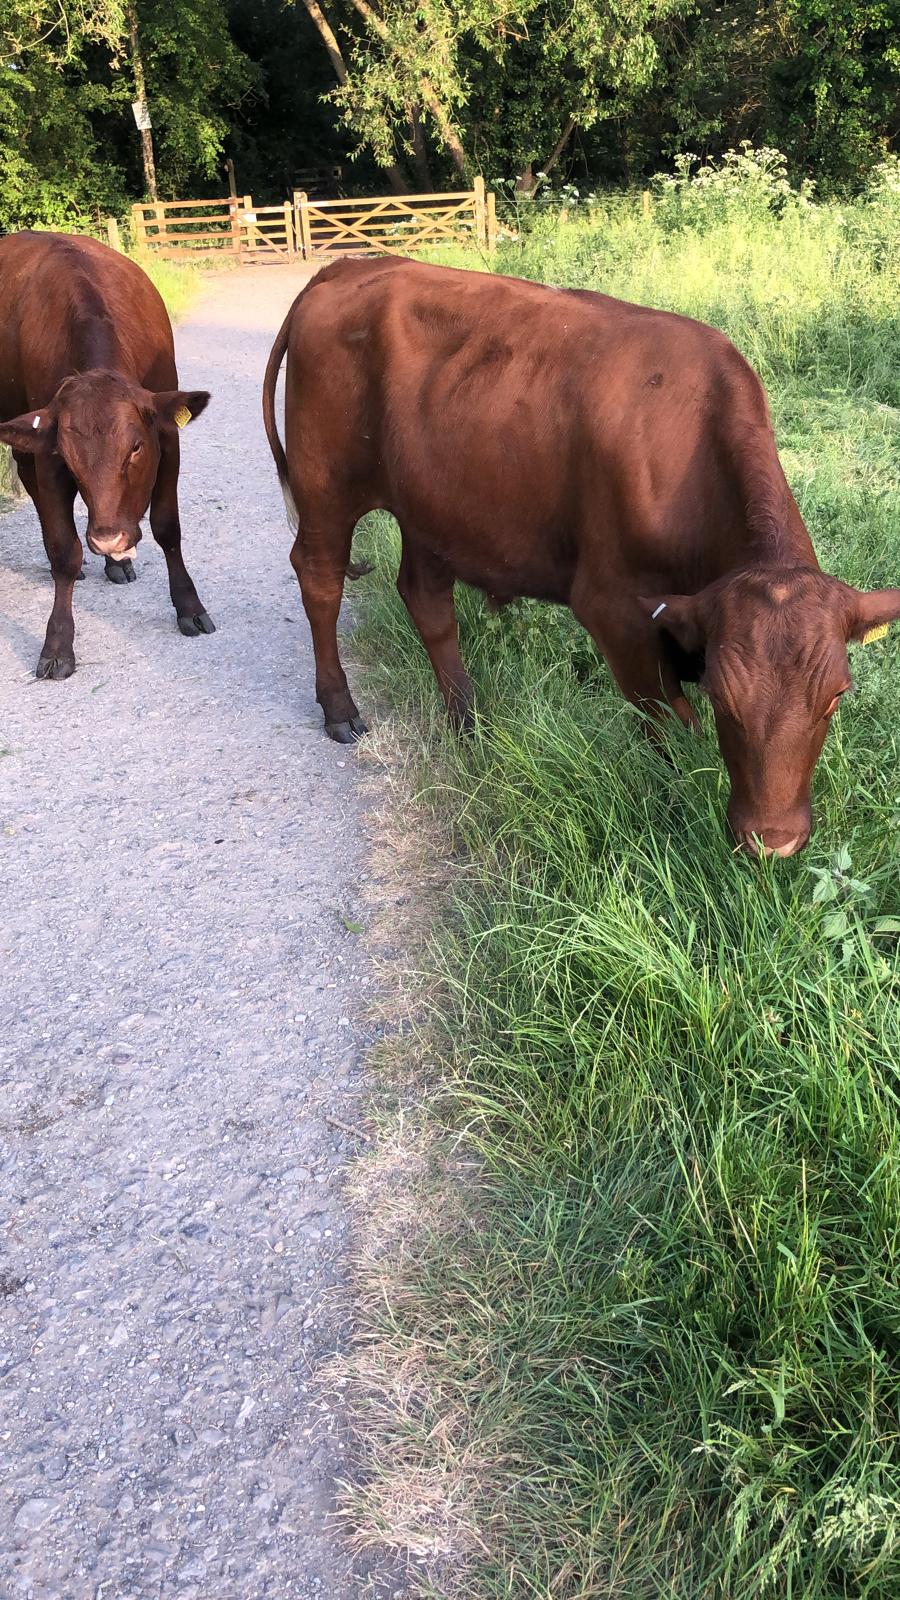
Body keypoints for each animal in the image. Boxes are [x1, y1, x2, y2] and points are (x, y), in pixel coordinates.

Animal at [0, 231, 214, 680]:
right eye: (68, 455)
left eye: (135, 447)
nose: (107, 537)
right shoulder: (48, 455)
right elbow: (65, 550)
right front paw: (57, 643)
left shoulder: (168, 440)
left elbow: (168, 528)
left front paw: (189, 606)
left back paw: (116, 562)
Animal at [262, 255, 900, 858]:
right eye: (723, 694)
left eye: (837, 695)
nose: (774, 840)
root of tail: (350, 266)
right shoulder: (615, 611)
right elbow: (670, 725)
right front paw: (669, 801)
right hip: (327, 487)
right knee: (320, 579)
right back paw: (340, 708)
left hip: (433, 506)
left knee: (426, 599)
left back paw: (468, 723)